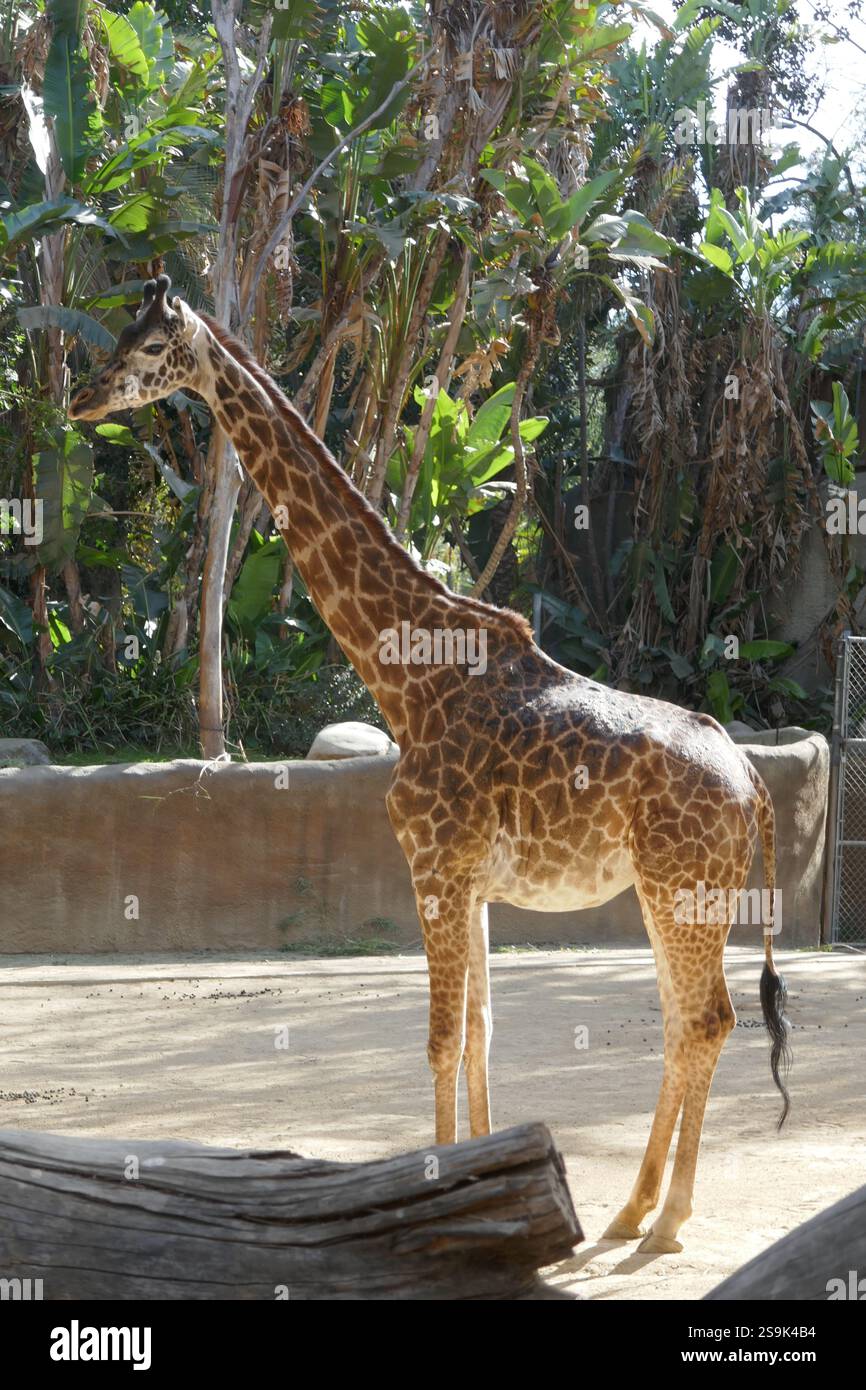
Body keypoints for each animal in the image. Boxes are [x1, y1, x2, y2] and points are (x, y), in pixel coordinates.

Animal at [69, 275, 791, 1254]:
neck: (409, 680)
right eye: (118, 336)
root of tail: (751, 781)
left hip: (685, 888)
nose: (79, 399)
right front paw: (490, 1179)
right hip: (669, 890)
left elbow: (442, 1038)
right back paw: (633, 1208)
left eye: (148, 349)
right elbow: (482, 1032)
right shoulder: (472, 882)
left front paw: (439, 1194)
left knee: (709, 1018)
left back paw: (668, 1219)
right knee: (687, 1020)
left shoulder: (435, 870)